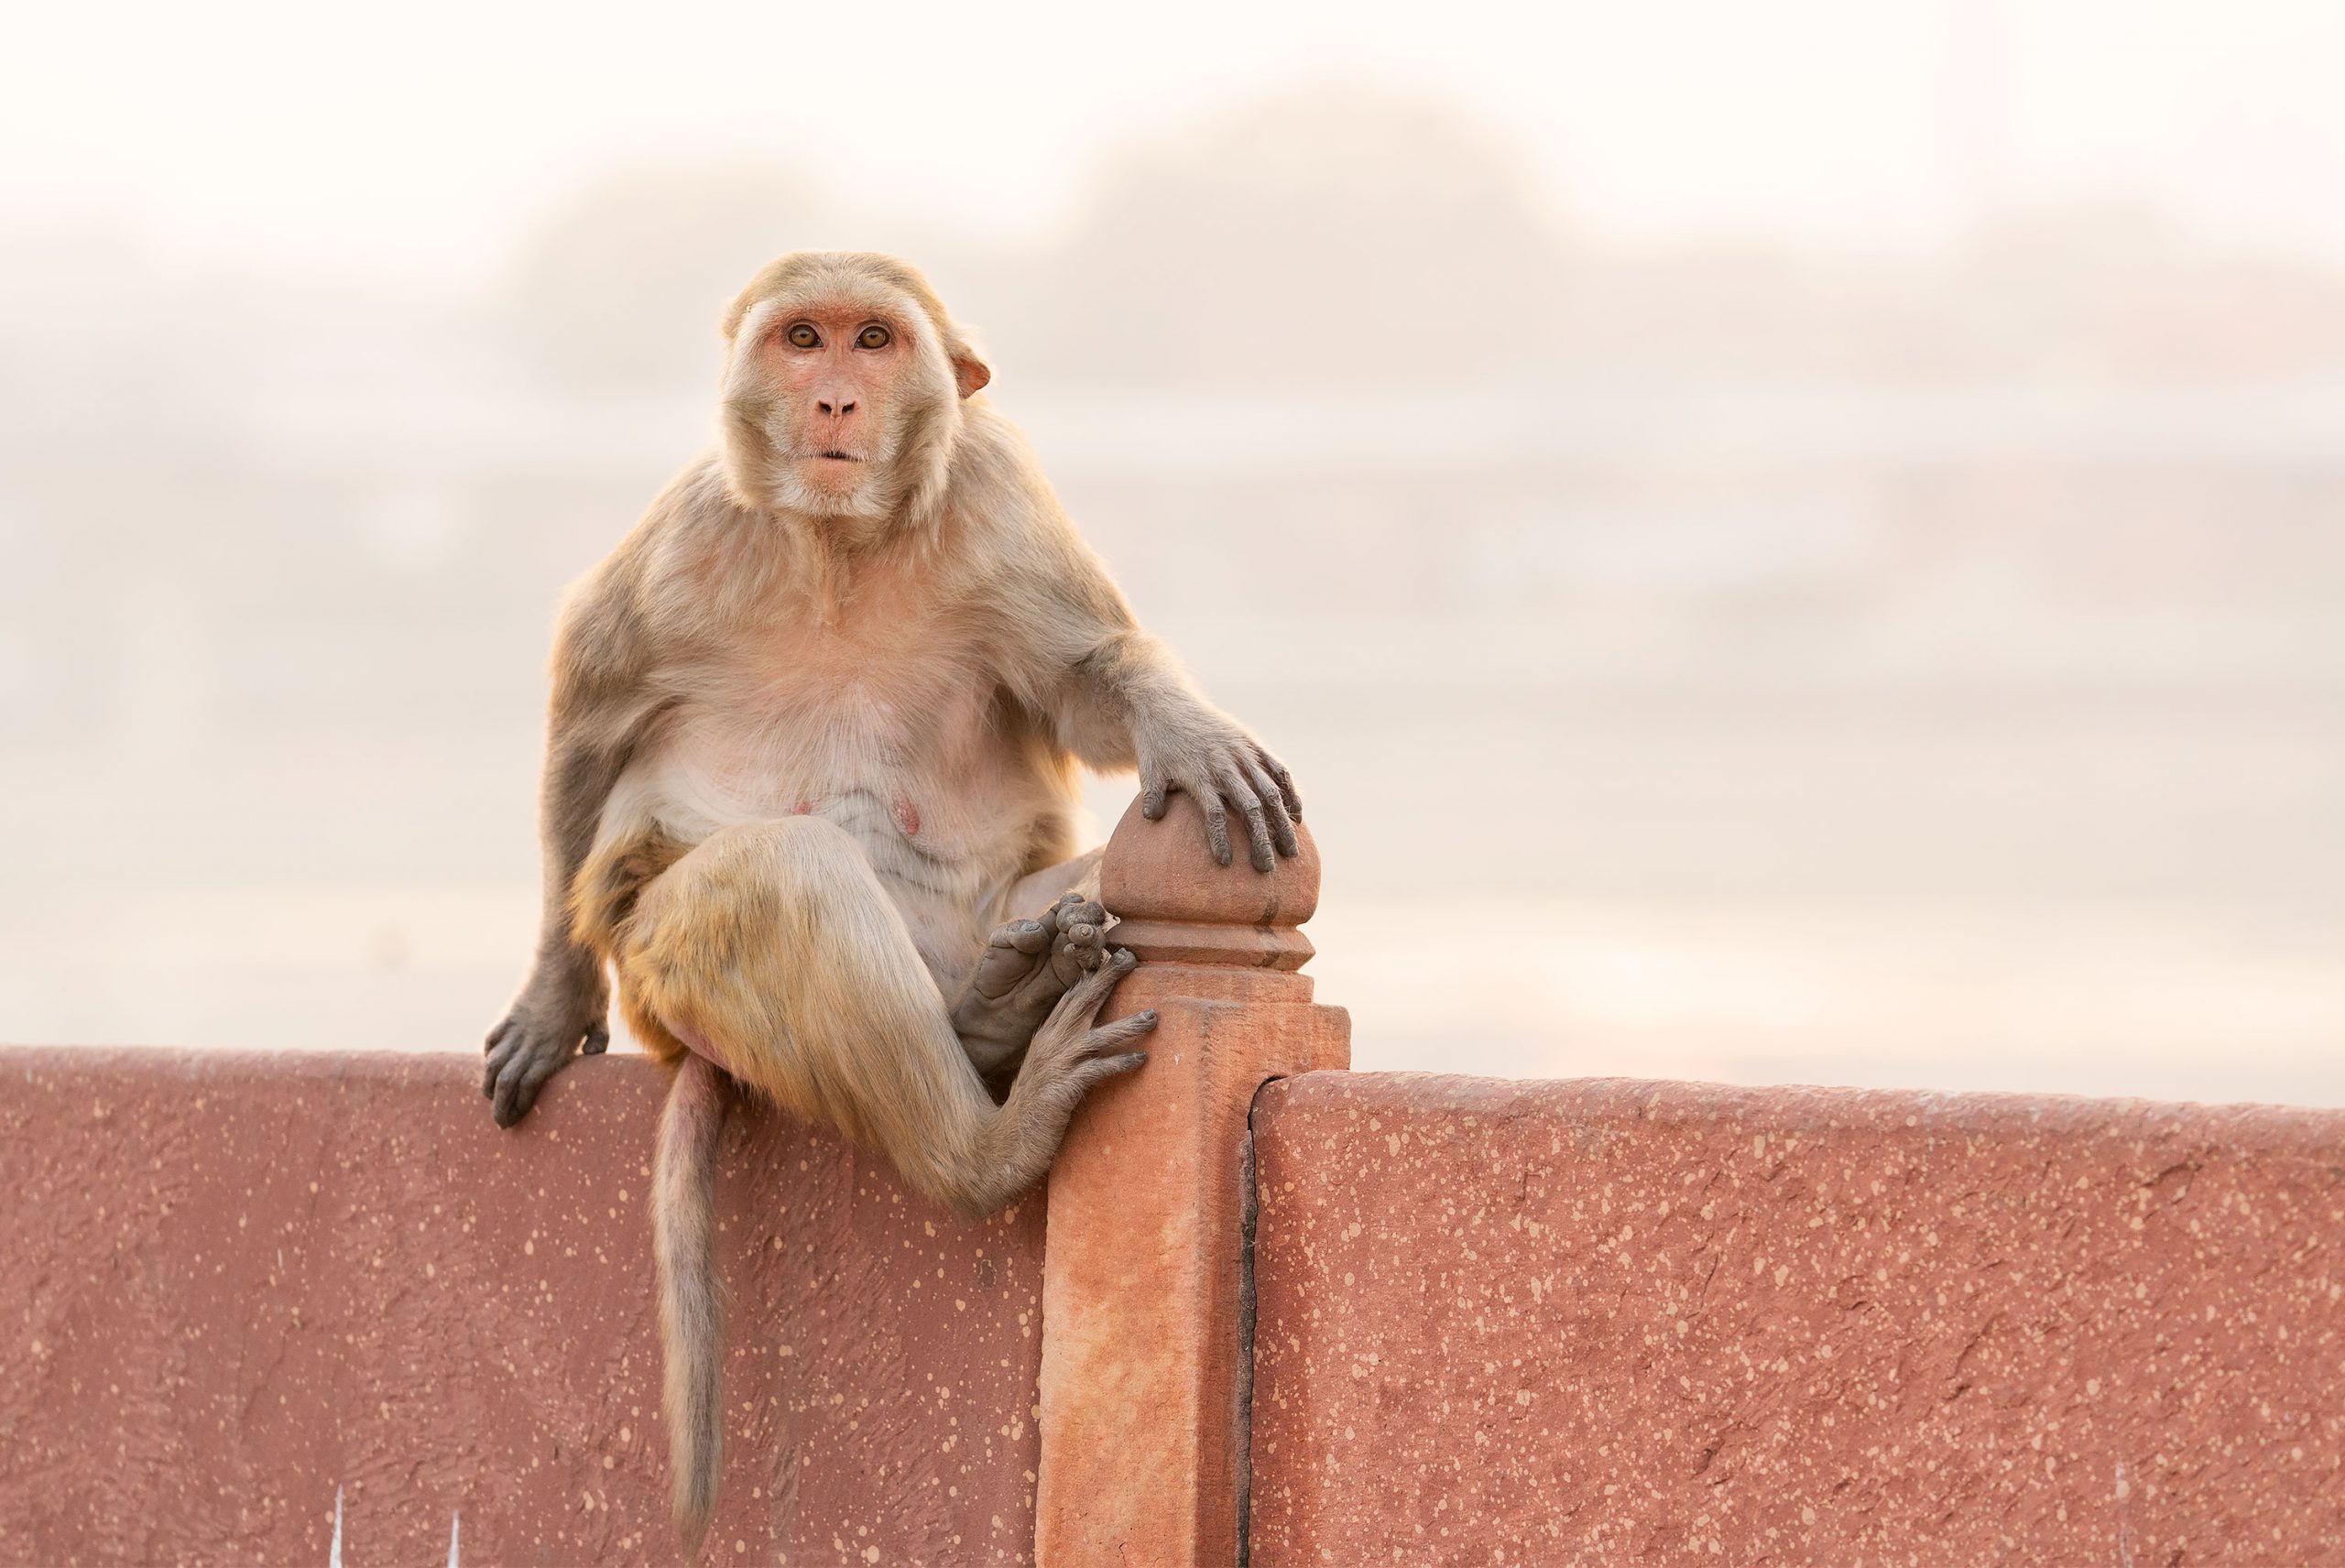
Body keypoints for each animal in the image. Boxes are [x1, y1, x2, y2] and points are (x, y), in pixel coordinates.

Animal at [479, 251, 1302, 1551]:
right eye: (801, 338)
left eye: (873, 340)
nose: (832, 399)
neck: (840, 546)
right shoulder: (688, 533)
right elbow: (591, 715)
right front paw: (553, 1001)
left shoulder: (1000, 493)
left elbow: (1088, 679)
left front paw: (1183, 726)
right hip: (671, 972)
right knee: (782, 873)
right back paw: (988, 1137)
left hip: (981, 918)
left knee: (1072, 897)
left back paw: (1004, 1003)